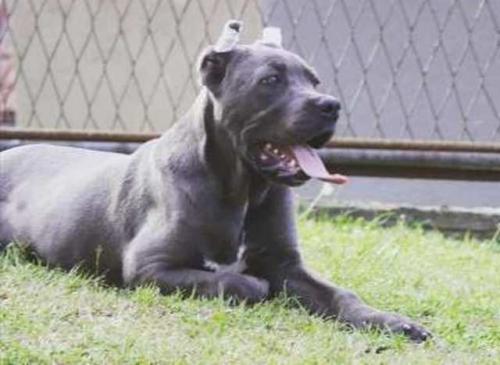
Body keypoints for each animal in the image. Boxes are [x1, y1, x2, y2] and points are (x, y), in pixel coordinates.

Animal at [0, 22, 430, 342]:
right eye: (270, 80)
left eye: (314, 80)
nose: (331, 106)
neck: (240, 189)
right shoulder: (150, 268)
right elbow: (241, 282)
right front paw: (253, 285)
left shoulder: (287, 264)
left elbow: (342, 294)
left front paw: (394, 321)